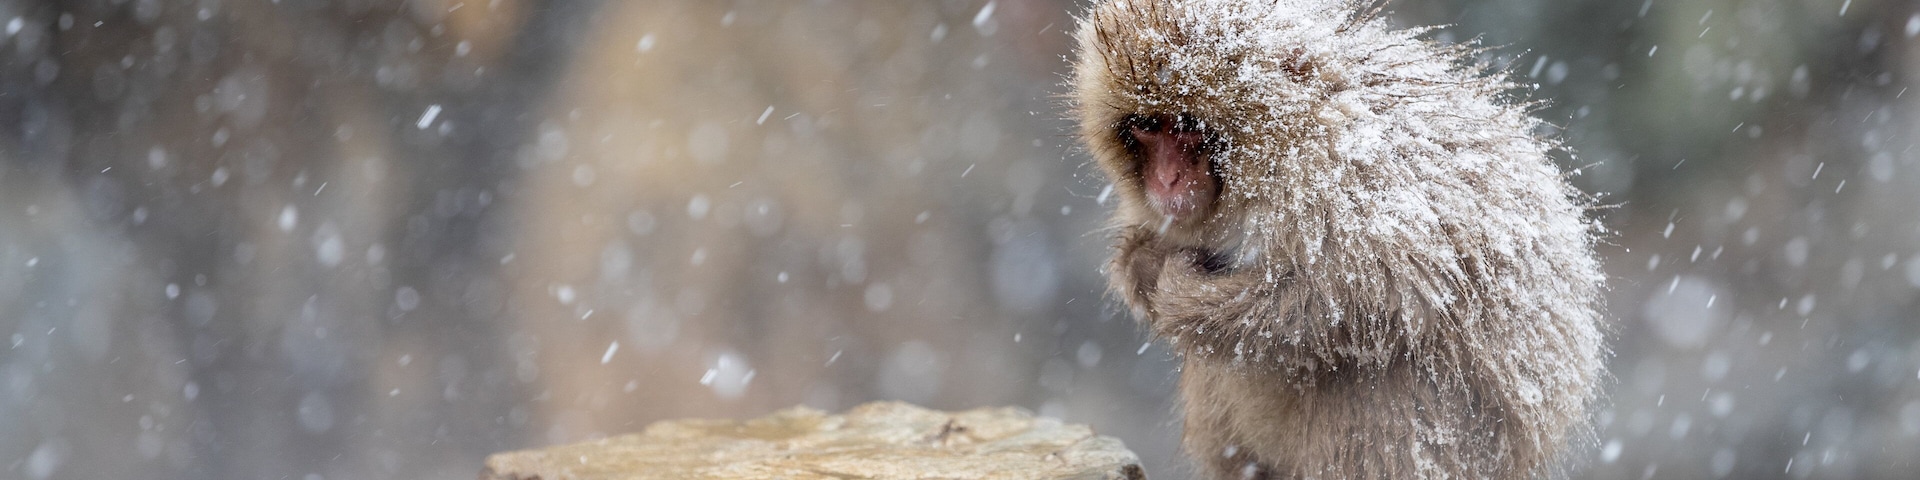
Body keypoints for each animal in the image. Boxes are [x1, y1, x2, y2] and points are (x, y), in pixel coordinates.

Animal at [1070, 1, 1607, 478]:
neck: (1280, 137)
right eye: (1146, 126)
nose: (1165, 181)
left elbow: (1372, 292)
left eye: (1183, 127)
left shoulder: (1340, 171)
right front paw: (1145, 264)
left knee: (1378, 380)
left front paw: (1180, 293)